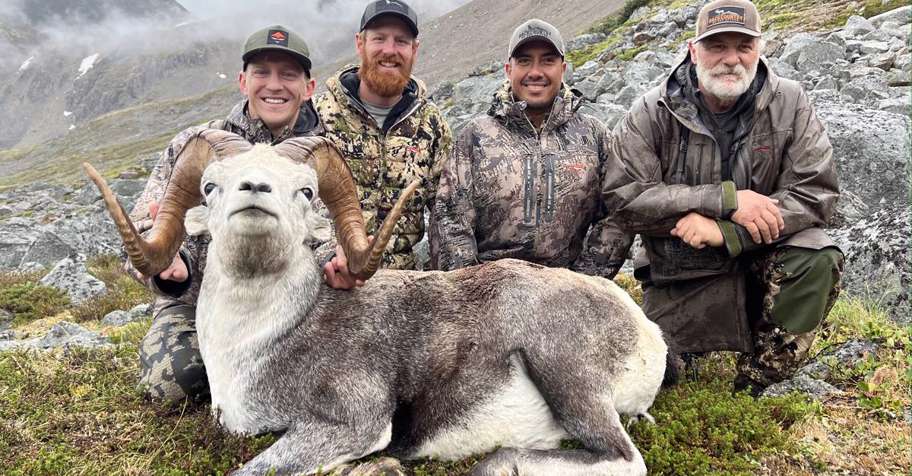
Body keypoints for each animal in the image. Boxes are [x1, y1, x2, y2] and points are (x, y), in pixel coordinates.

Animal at [85, 129, 667, 476]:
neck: (259, 341)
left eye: (305, 190)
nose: (254, 189)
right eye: (209, 186)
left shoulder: (352, 423)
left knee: (621, 459)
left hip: (563, 371)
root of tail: (647, 334)